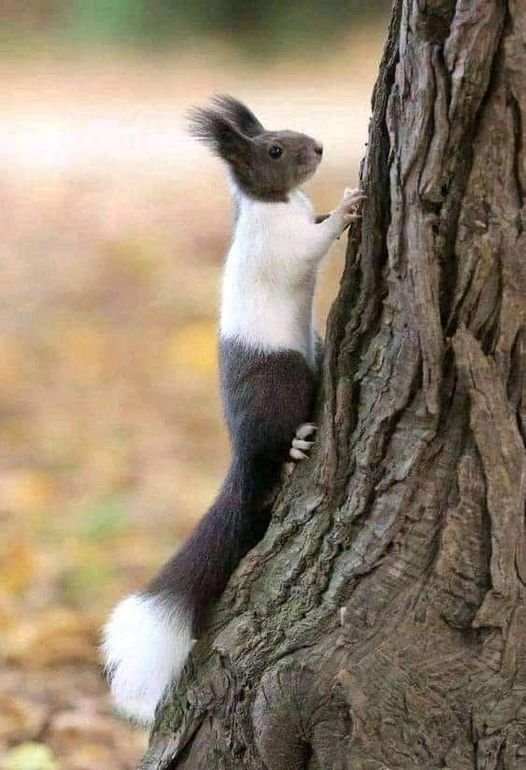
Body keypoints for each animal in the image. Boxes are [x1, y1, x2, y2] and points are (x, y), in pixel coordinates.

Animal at [102, 95, 365, 724]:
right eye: (273, 149)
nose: (319, 148)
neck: (276, 203)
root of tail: (242, 454)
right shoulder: (280, 243)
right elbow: (312, 245)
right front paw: (348, 204)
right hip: (282, 381)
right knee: (276, 443)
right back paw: (295, 445)